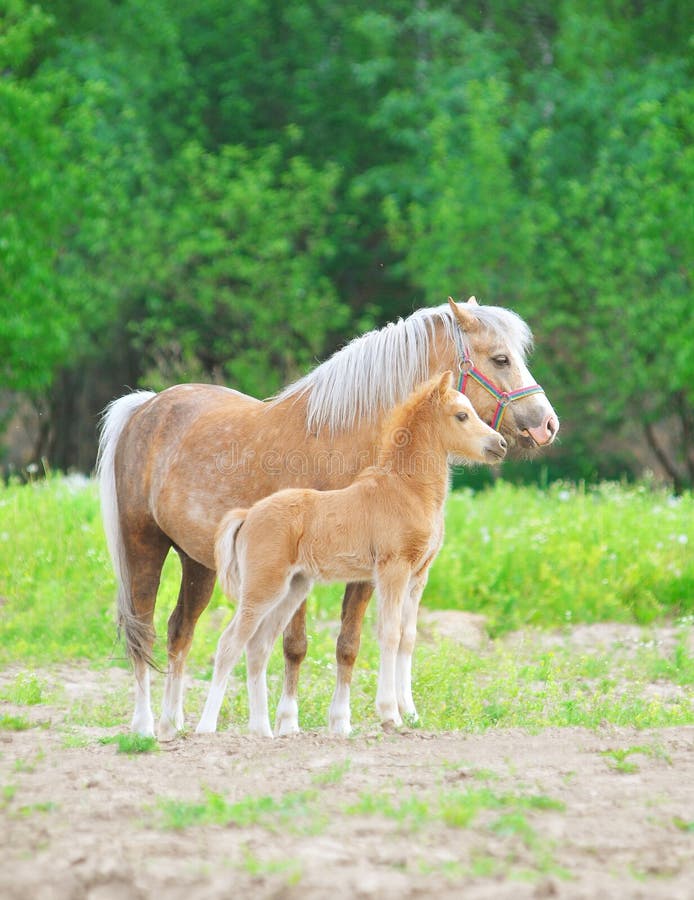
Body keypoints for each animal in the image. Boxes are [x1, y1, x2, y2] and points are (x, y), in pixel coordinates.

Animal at [197, 372, 507, 735]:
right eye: (461, 415)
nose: (500, 444)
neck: (406, 488)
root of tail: (248, 515)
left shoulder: (418, 575)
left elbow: (409, 637)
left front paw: (411, 714)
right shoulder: (392, 569)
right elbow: (389, 634)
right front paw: (389, 714)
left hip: (291, 589)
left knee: (258, 647)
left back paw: (263, 730)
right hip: (263, 587)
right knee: (230, 643)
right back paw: (206, 727)